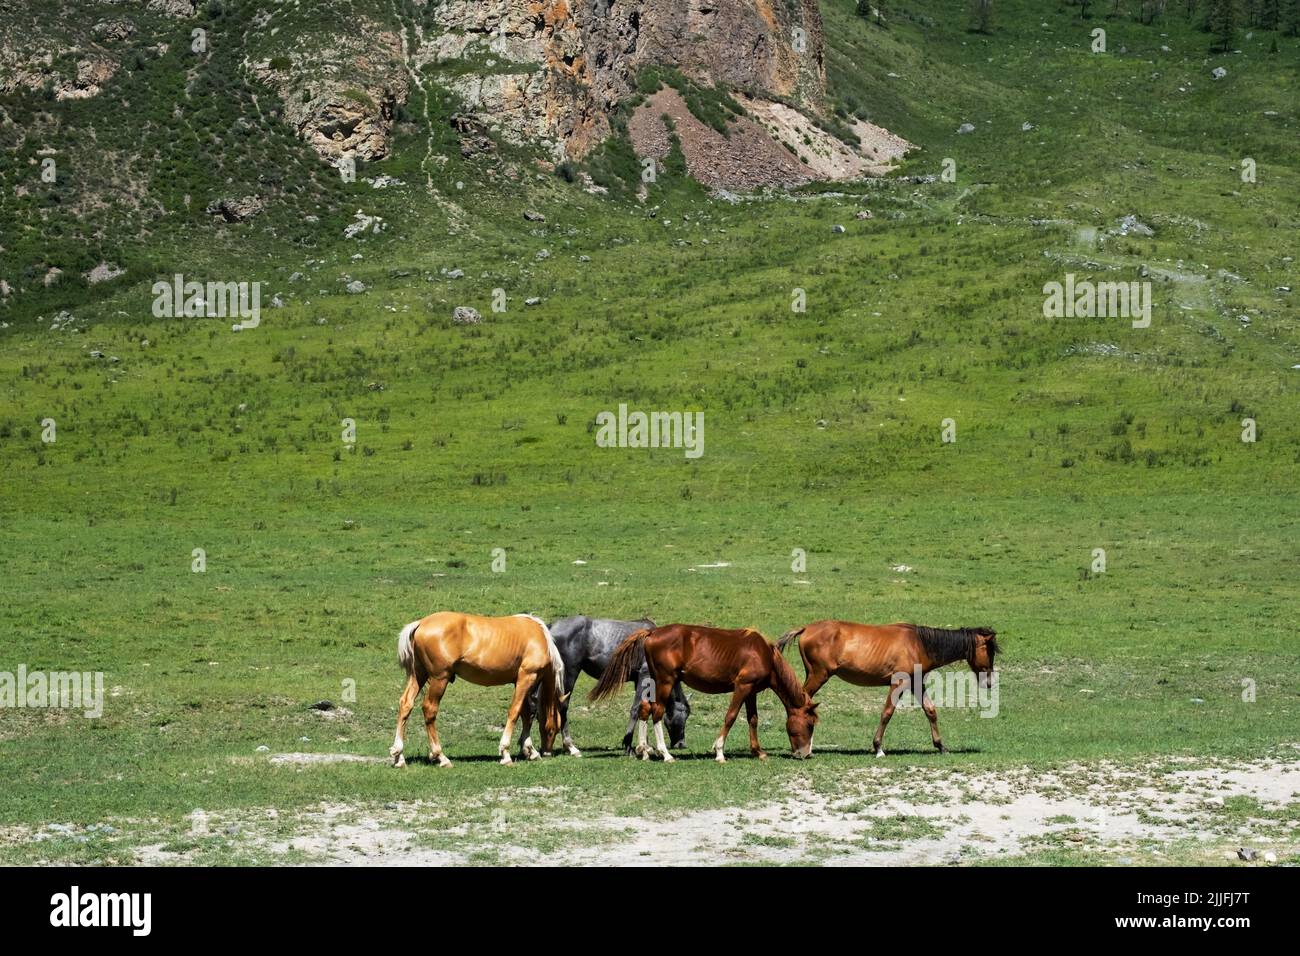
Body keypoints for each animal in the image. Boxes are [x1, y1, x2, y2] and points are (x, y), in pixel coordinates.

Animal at [389, 611, 565, 768]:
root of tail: (420, 623)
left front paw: (530, 750)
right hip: (439, 679)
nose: (547, 752)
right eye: (553, 730)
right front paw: (506, 752)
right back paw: (441, 756)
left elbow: (526, 714)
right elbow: (515, 712)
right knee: (429, 710)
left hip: (418, 676)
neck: (538, 636)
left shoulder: (520, 683)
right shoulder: (526, 678)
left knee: (406, 704)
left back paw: (399, 756)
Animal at [519, 616, 692, 757]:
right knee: (562, 706)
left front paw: (645, 746)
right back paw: (570, 747)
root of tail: (551, 627)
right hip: (568, 675)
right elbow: (636, 709)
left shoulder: (639, 681)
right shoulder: (644, 675)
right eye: (684, 715)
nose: (681, 744)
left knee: (534, 704)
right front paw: (629, 746)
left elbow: (644, 709)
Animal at [589, 624, 818, 763]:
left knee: (645, 708)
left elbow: (753, 719)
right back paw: (665, 754)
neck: (763, 653)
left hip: (655, 682)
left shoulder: (751, 691)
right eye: (809, 724)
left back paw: (644, 750)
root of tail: (652, 633)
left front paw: (758, 752)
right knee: (657, 712)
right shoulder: (742, 686)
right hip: (665, 682)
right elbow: (731, 717)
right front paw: (719, 752)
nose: (806, 754)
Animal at [777, 621, 998, 757]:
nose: (988, 682)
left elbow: (930, 711)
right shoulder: (898, 683)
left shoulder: (916, 682)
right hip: (818, 676)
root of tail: (806, 629)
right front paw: (878, 748)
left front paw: (941, 746)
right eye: (990, 651)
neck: (918, 644)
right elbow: (887, 713)